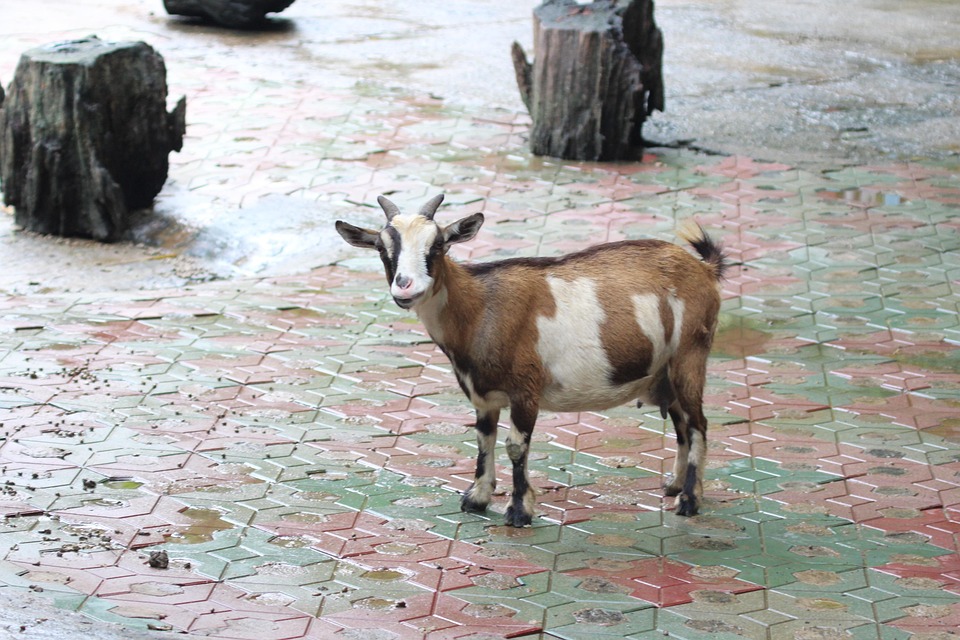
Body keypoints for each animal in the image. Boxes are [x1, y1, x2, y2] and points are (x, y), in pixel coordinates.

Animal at [336, 194, 728, 526]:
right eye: (382, 248)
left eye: (437, 245)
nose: (405, 286)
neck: (480, 308)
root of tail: (705, 269)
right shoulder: (484, 394)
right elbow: (484, 438)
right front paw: (476, 498)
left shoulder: (526, 390)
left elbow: (514, 446)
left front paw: (519, 510)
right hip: (664, 371)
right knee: (681, 424)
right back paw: (675, 485)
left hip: (690, 356)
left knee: (698, 424)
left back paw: (689, 501)